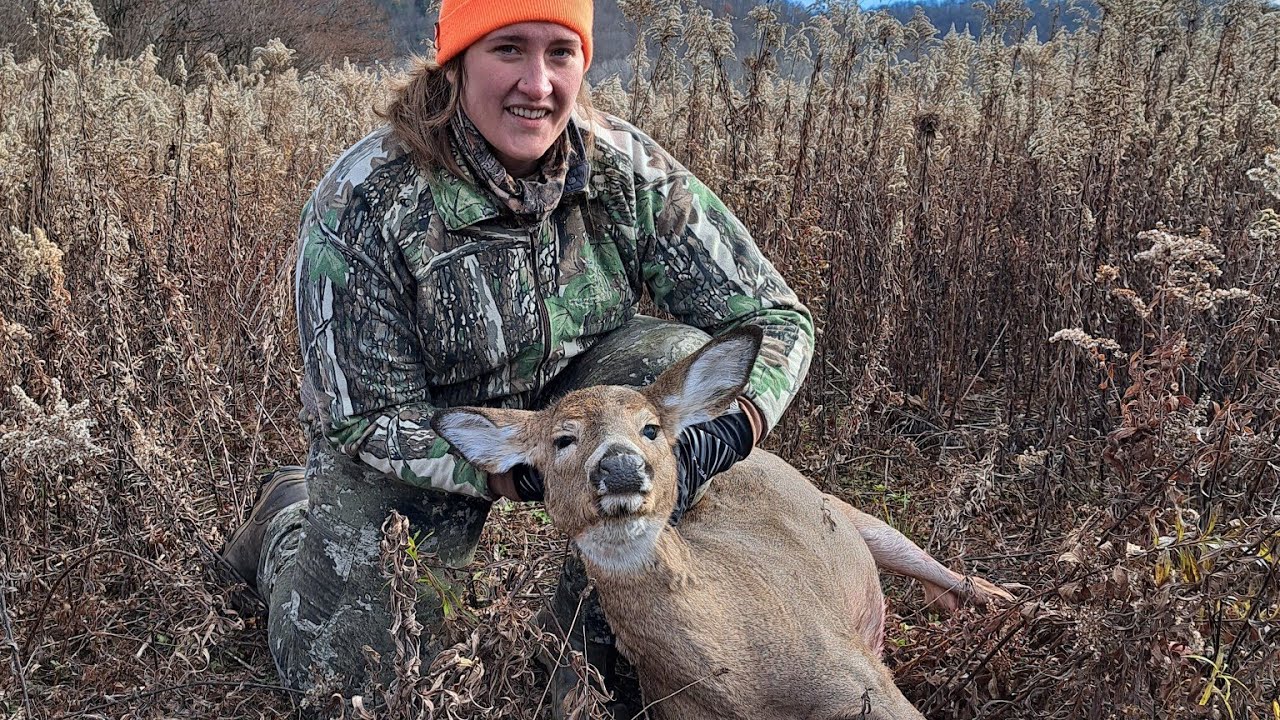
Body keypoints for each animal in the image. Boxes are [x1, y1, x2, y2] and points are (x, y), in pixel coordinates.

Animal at [432, 327, 1013, 720]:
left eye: (650, 429)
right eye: (563, 439)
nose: (619, 467)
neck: (747, 681)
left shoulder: (867, 683)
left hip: (850, 513)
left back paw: (1001, 599)